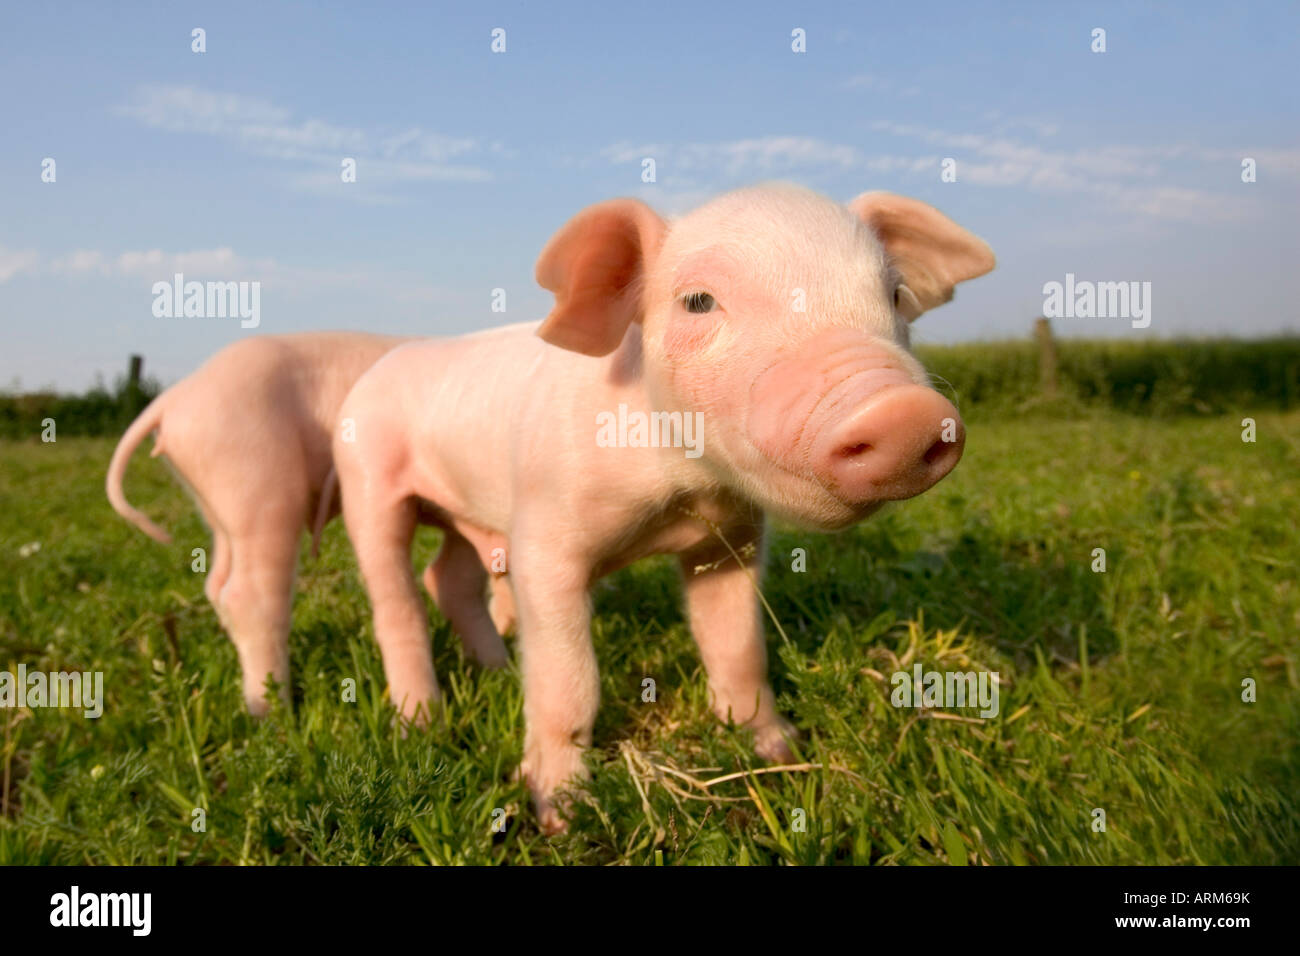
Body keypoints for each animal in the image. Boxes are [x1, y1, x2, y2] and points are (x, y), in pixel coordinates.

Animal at [105, 332, 511, 715]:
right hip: (259, 486)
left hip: (218, 509)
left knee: (217, 583)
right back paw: (274, 714)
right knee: (249, 594)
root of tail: (171, 399)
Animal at [332, 184, 995, 832]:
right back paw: (420, 723)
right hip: (365, 480)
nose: (903, 412)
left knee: (446, 576)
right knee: (397, 600)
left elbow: (737, 645)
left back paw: (496, 670)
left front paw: (779, 753)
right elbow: (567, 679)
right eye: (698, 301)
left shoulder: (730, 541)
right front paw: (560, 814)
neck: (679, 491)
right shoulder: (543, 536)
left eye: (896, 295)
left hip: (464, 514)